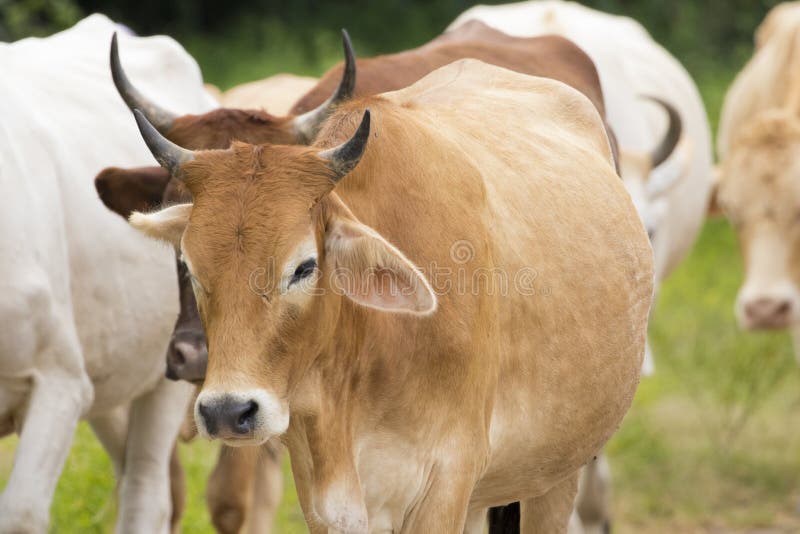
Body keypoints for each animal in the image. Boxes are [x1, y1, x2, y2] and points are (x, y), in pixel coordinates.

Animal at [102, 24, 626, 533]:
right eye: (189, 264)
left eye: (304, 266)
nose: (226, 411)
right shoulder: (324, 495)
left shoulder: (447, 483)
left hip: (555, 473)